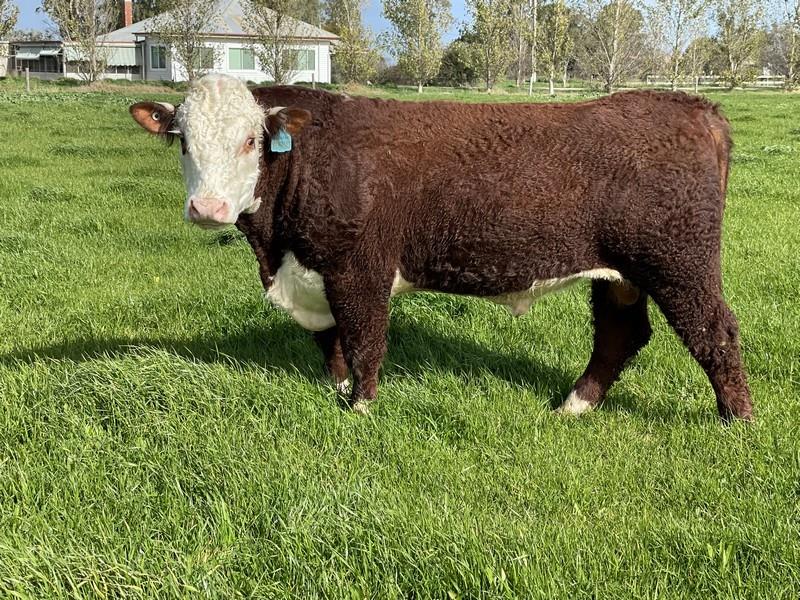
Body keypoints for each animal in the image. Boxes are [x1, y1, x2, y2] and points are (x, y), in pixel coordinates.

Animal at [129, 73, 752, 421]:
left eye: (250, 140)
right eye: (182, 140)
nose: (208, 208)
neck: (276, 251)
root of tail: (695, 108)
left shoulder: (359, 269)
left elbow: (364, 340)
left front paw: (360, 409)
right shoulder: (313, 272)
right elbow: (331, 345)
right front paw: (336, 391)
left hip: (679, 263)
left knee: (715, 332)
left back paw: (736, 421)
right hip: (622, 273)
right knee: (622, 335)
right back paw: (575, 405)